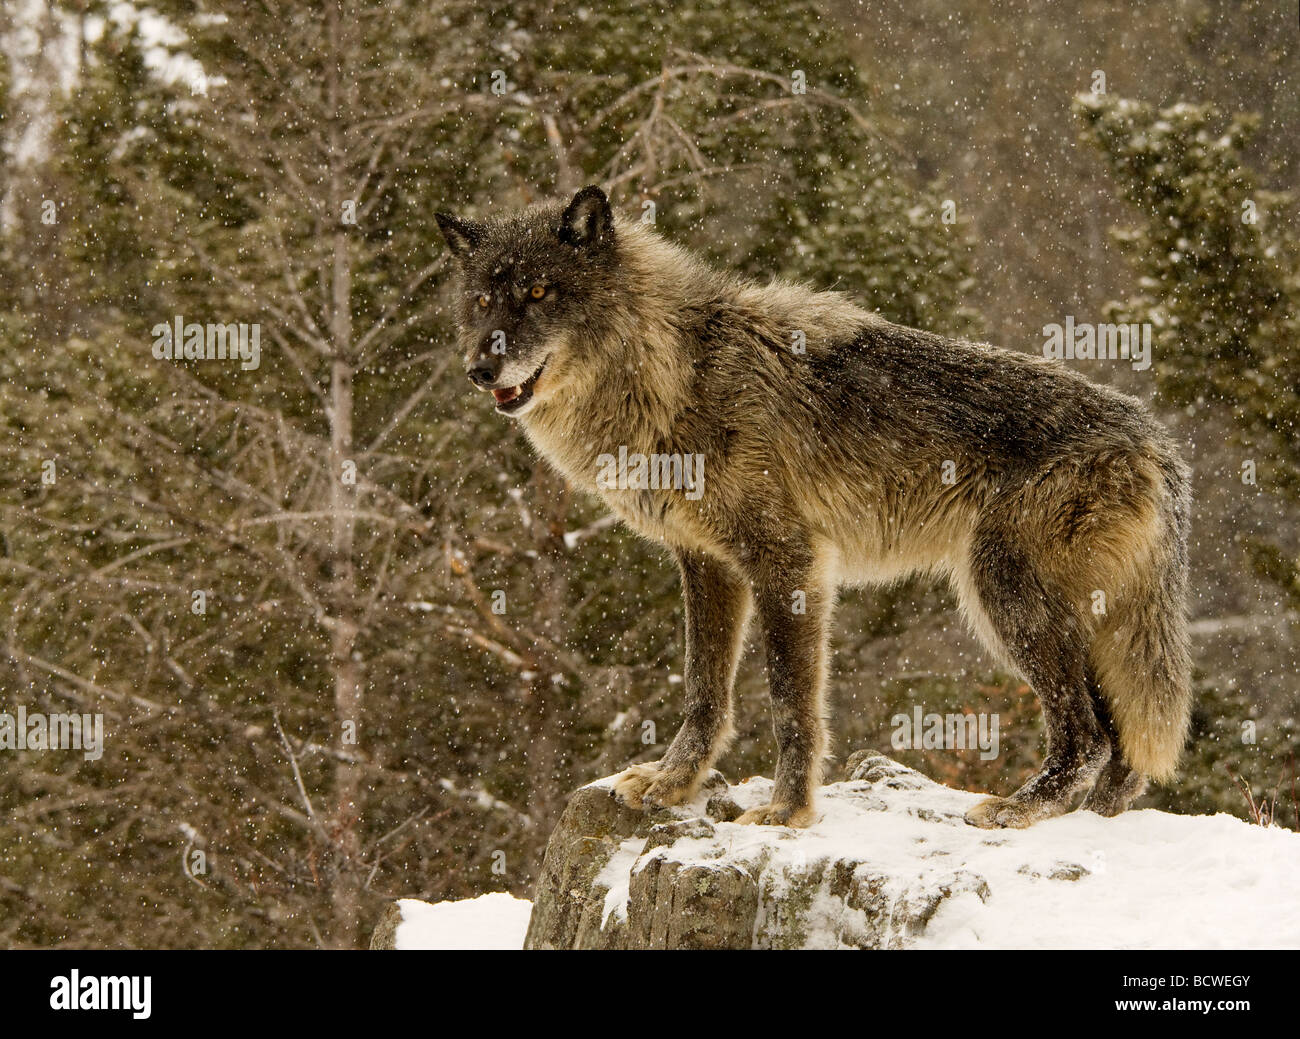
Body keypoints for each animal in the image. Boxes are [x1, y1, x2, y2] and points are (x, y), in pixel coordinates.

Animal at [436, 186, 1192, 829]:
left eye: (539, 292)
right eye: (482, 300)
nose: (479, 370)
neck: (675, 376)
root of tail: (1157, 442)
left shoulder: (788, 562)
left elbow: (789, 702)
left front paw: (785, 812)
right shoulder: (706, 563)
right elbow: (705, 692)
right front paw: (673, 784)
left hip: (1001, 596)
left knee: (1088, 734)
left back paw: (1019, 807)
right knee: (1123, 744)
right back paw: (1091, 817)